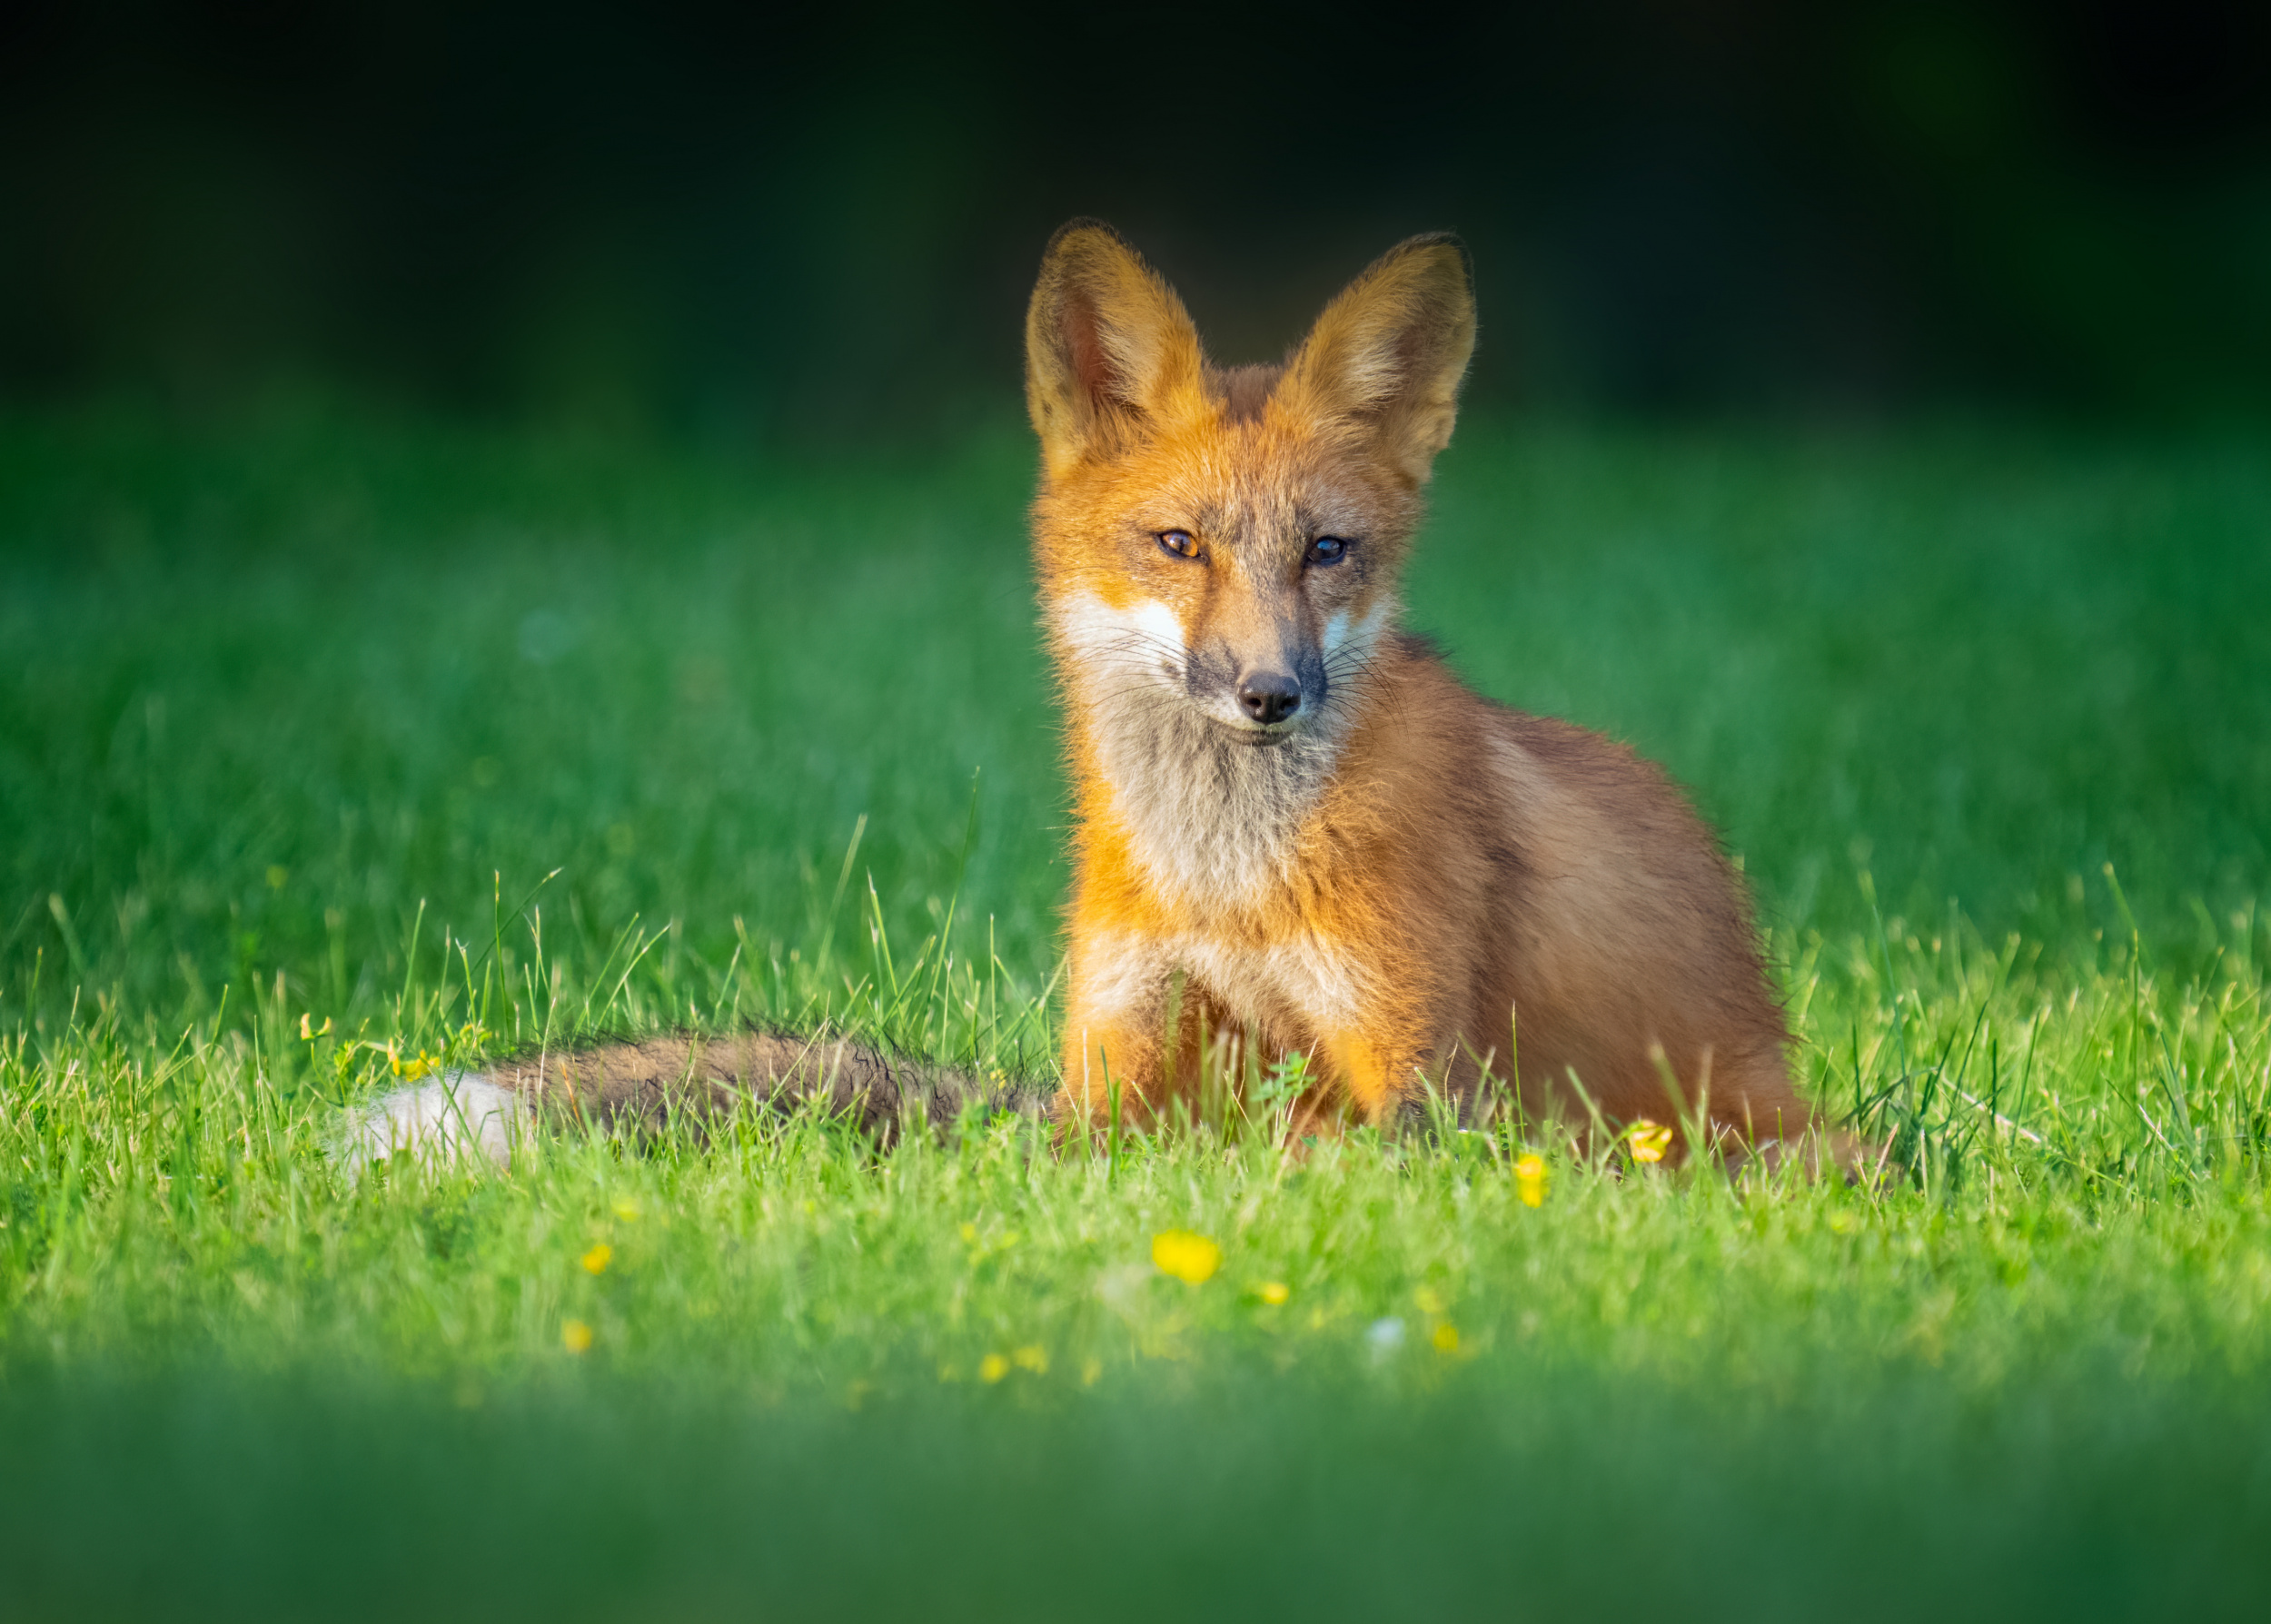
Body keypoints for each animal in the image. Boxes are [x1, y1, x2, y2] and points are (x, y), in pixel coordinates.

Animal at [346, 221, 1824, 1170]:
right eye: (1179, 545)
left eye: (1325, 551)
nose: (1272, 693)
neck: (1224, 882)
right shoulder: (1107, 1077)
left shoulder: (1413, 1083)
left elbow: (1313, 1156)